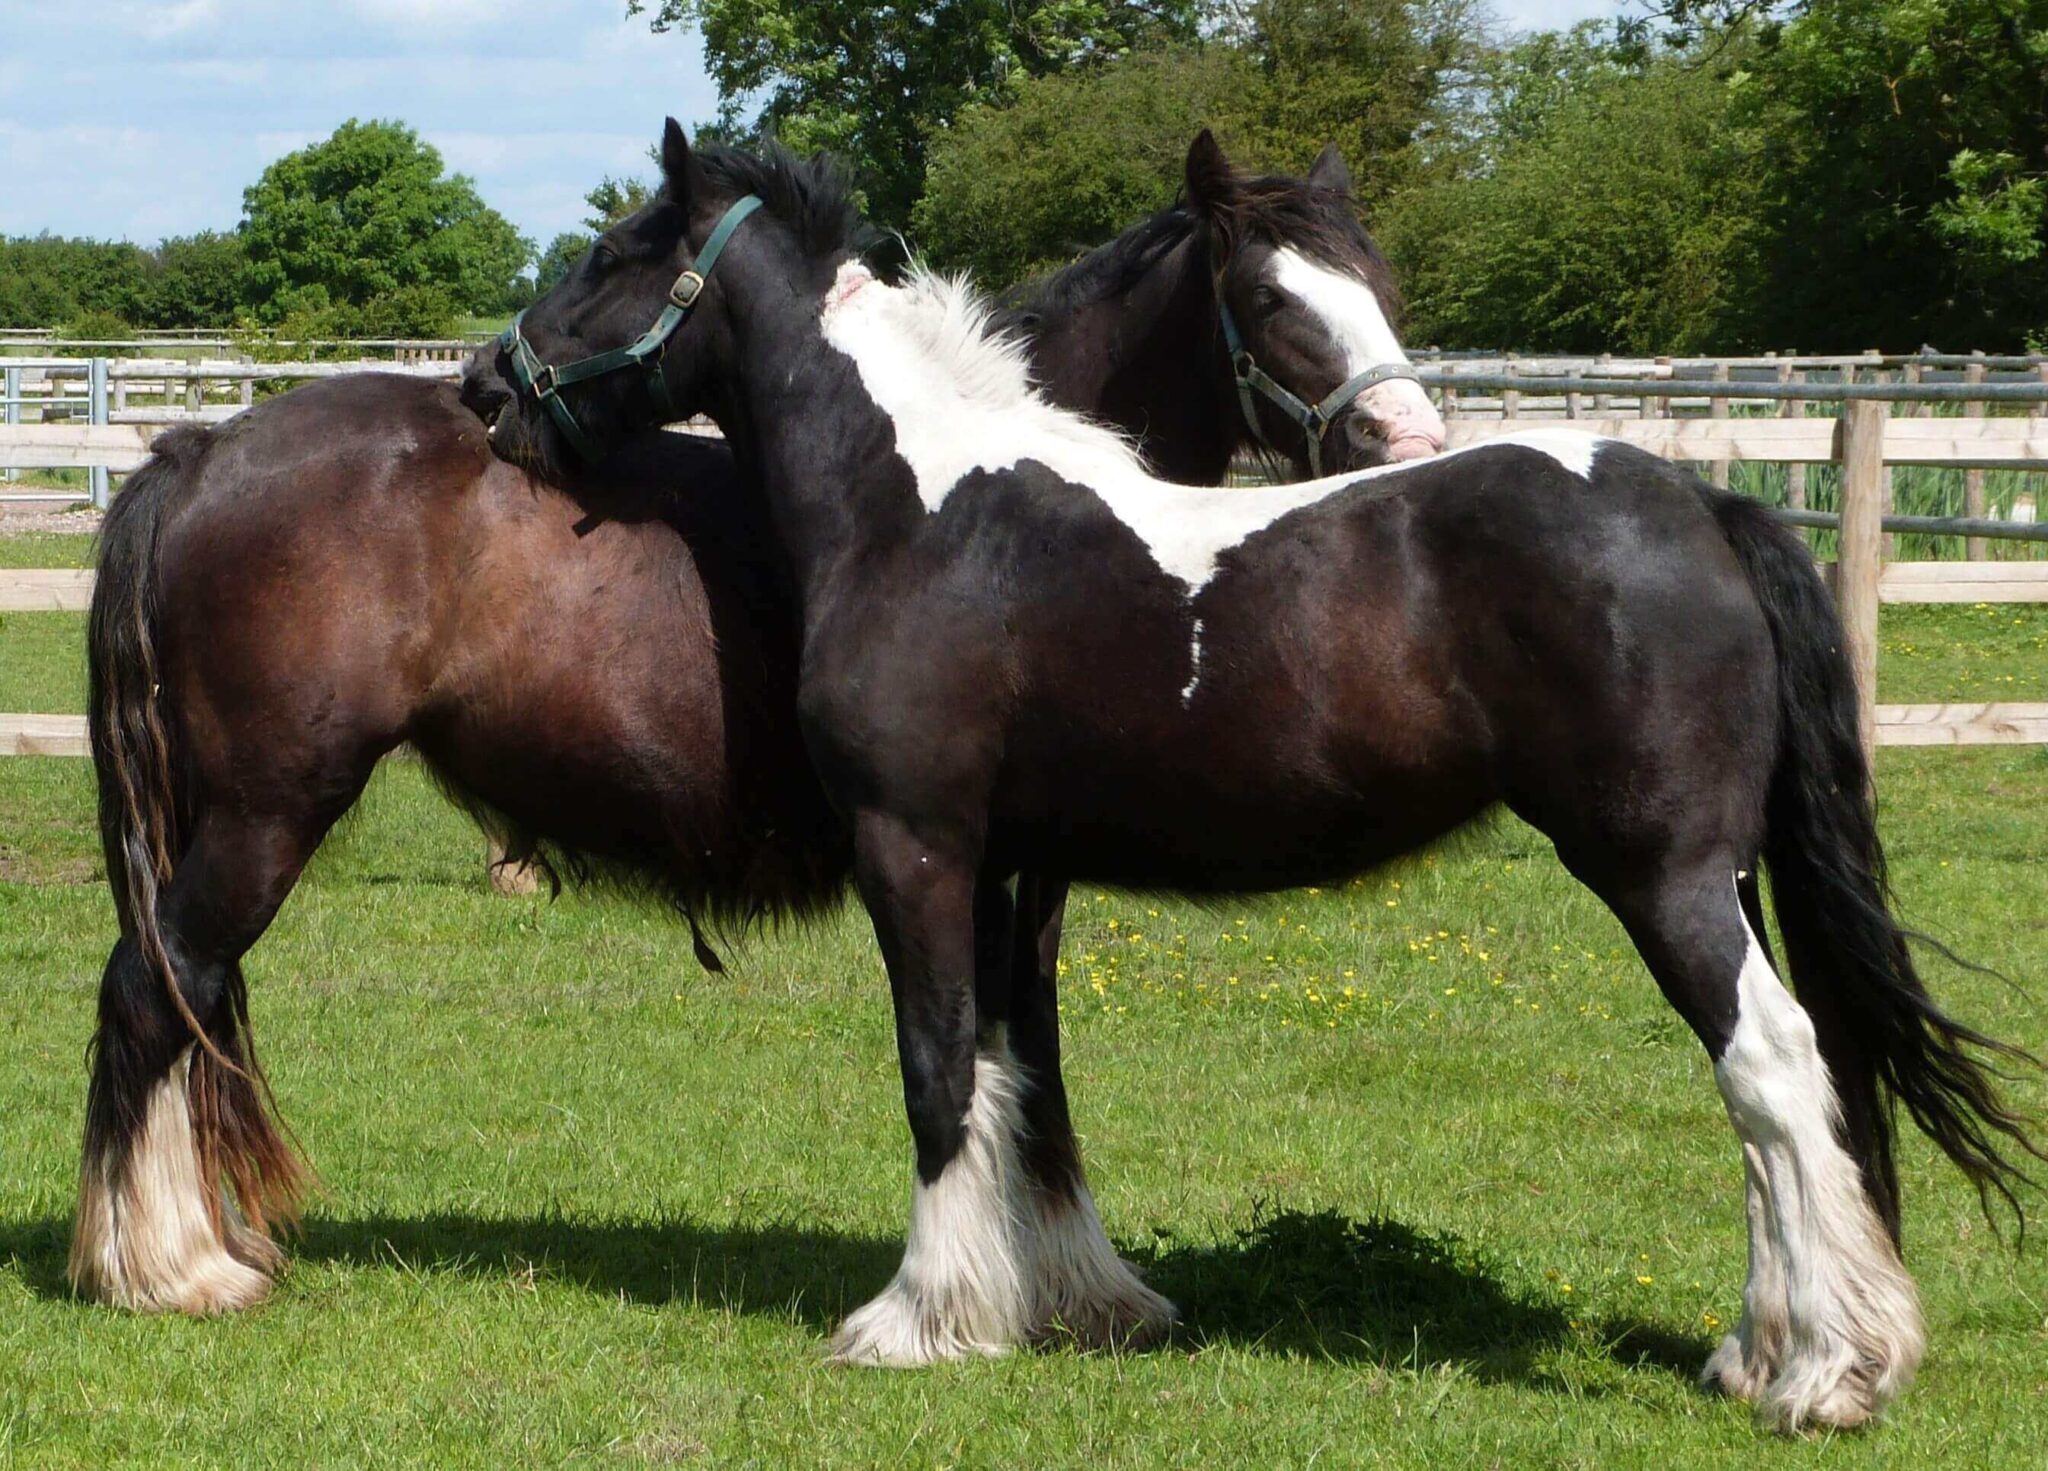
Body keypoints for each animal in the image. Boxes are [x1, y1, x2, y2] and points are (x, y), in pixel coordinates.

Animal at [70, 133, 1437, 1321]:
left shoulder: (1018, 871)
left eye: (1377, 286)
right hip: (266, 810)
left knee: (184, 997)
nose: (1409, 440)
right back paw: (165, 1269)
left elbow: (1031, 1066)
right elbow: (976, 1061)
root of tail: (200, 447)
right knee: (156, 981)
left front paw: (1080, 1290)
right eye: (1267, 296)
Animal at [488, 124, 2042, 1432]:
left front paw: (916, 1320)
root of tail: (1706, 502)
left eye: (614, 255)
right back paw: (1764, 1350)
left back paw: (1826, 1375)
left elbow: (937, 1069)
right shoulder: (1013, 867)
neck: (925, 507)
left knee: (1770, 1065)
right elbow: (1016, 1069)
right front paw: (1044, 1303)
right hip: (1721, 874)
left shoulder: (915, 845)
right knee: (1799, 1077)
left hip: (1660, 875)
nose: (491, 383)